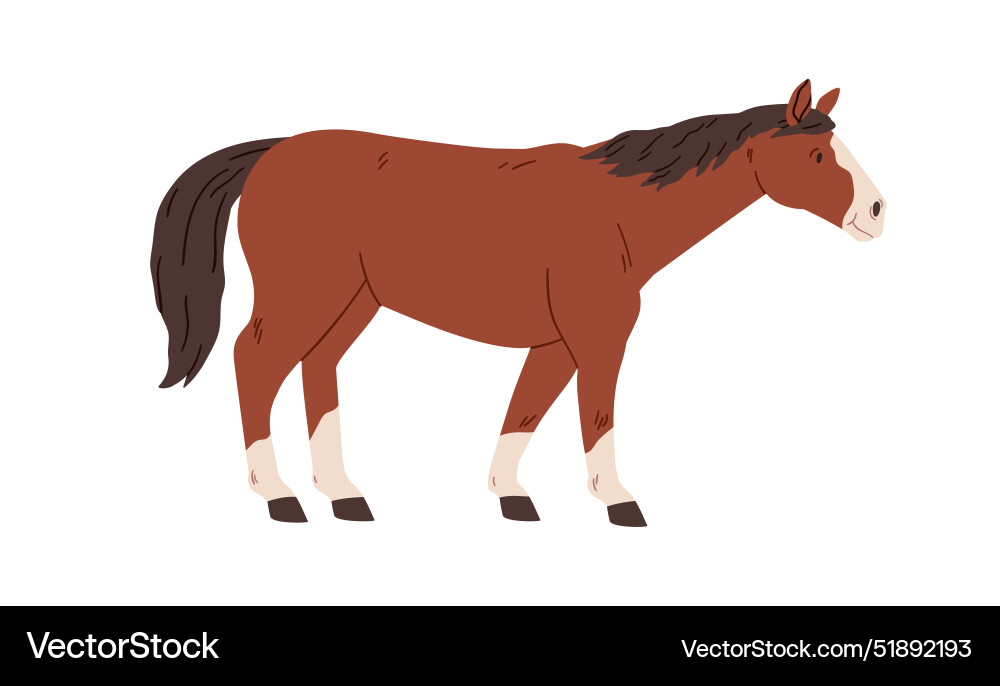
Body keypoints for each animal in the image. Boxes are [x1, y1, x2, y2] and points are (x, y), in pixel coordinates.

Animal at [151, 79, 885, 527]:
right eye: (818, 154)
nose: (877, 211)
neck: (617, 212)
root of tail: (272, 152)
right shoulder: (596, 336)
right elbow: (595, 413)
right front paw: (618, 502)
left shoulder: (556, 341)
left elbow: (525, 408)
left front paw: (511, 496)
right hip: (306, 295)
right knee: (255, 362)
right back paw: (278, 495)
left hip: (351, 303)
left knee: (318, 368)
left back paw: (343, 493)